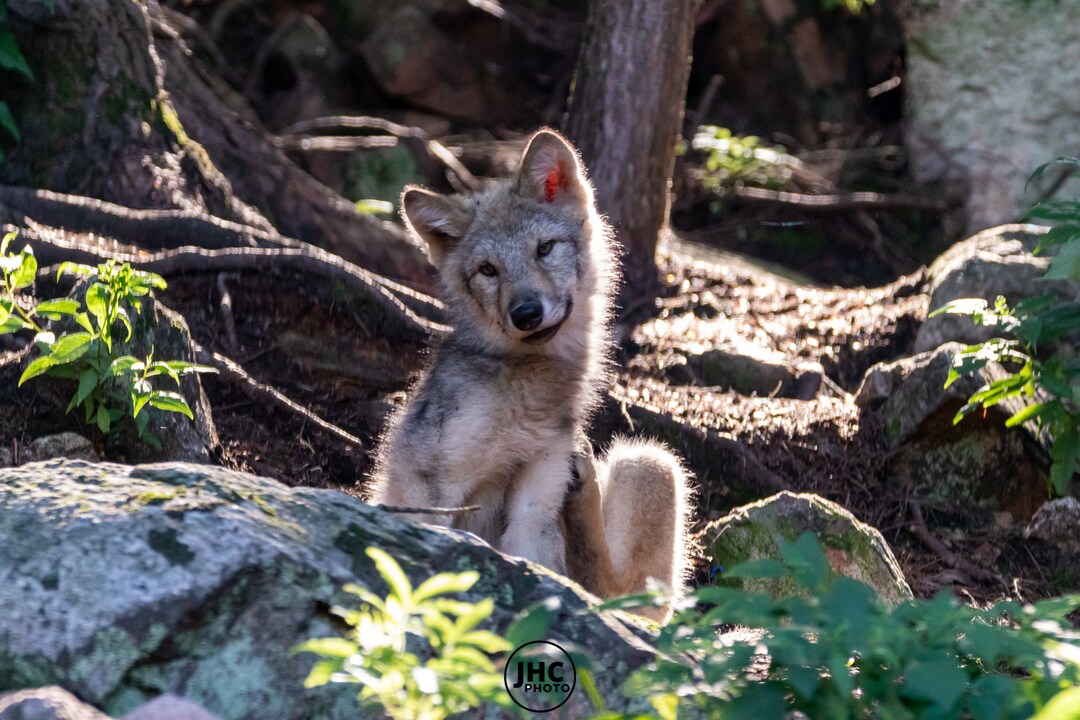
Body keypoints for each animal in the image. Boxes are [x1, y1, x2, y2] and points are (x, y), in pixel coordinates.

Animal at [366, 129, 693, 621]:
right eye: (488, 270)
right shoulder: (434, 491)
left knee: (623, 596)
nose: (525, 313)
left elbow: (545, 576)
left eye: (543, 248)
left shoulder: (534, 505)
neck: (524, 400)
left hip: (649, 461)